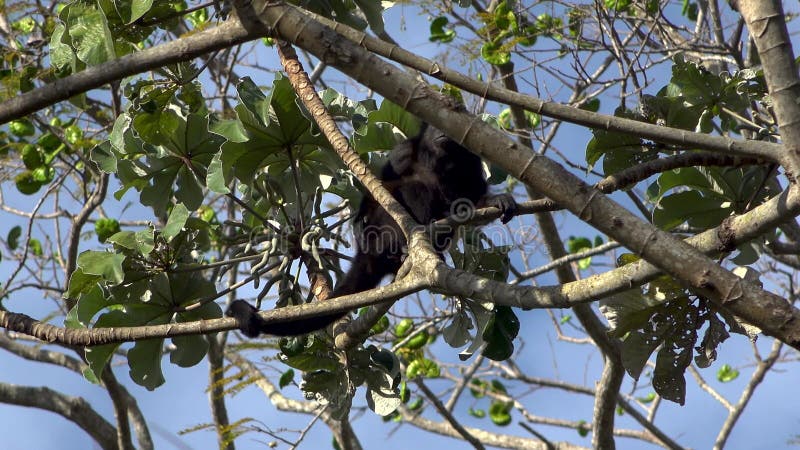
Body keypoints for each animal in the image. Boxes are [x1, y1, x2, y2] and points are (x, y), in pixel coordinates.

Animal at [226, 123, 517, 337]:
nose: (440, 132)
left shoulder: (472, 159)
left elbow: (472, 197)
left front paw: (495, 201)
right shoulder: (404, 150)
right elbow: (380, 187)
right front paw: (360, 221)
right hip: (382, 233)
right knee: (410, 189)